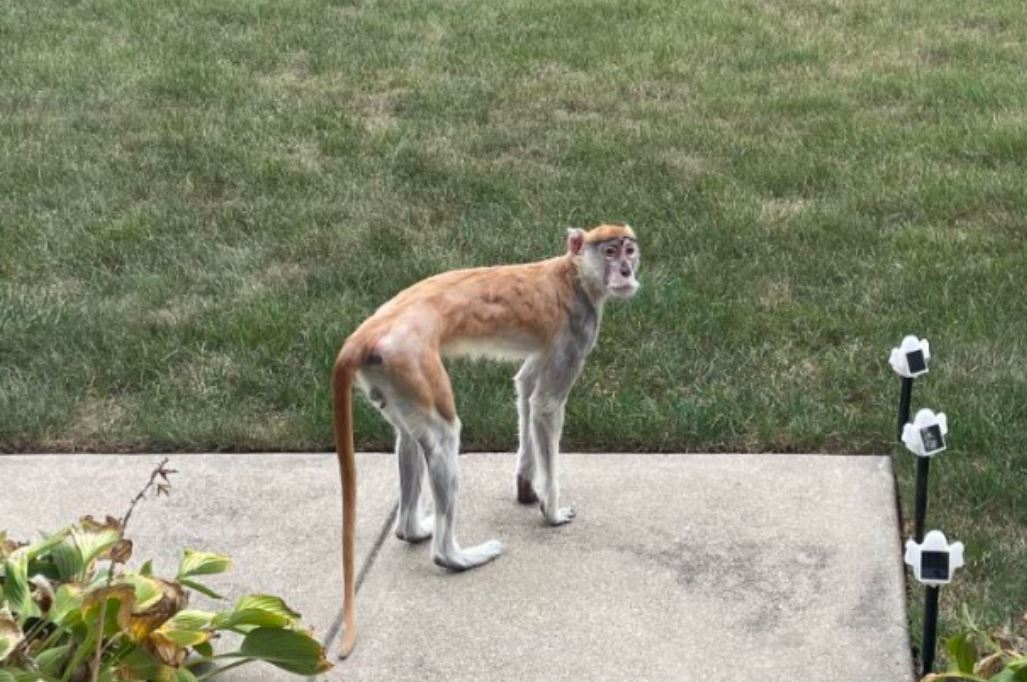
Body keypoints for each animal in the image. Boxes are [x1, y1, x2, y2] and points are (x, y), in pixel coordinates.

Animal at [331, 222, 640, 657]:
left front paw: (526, 485)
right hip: (411, 362)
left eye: (630, 249)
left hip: (389, 375)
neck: (573, 274)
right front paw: (552, 510)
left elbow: (526, 387)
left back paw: (412, 529)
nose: (626, 271)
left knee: (409, 438)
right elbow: (545, 406)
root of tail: (366, 335)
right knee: (444, 436)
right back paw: (454, 556)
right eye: (609, 252)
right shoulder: (577, 329)